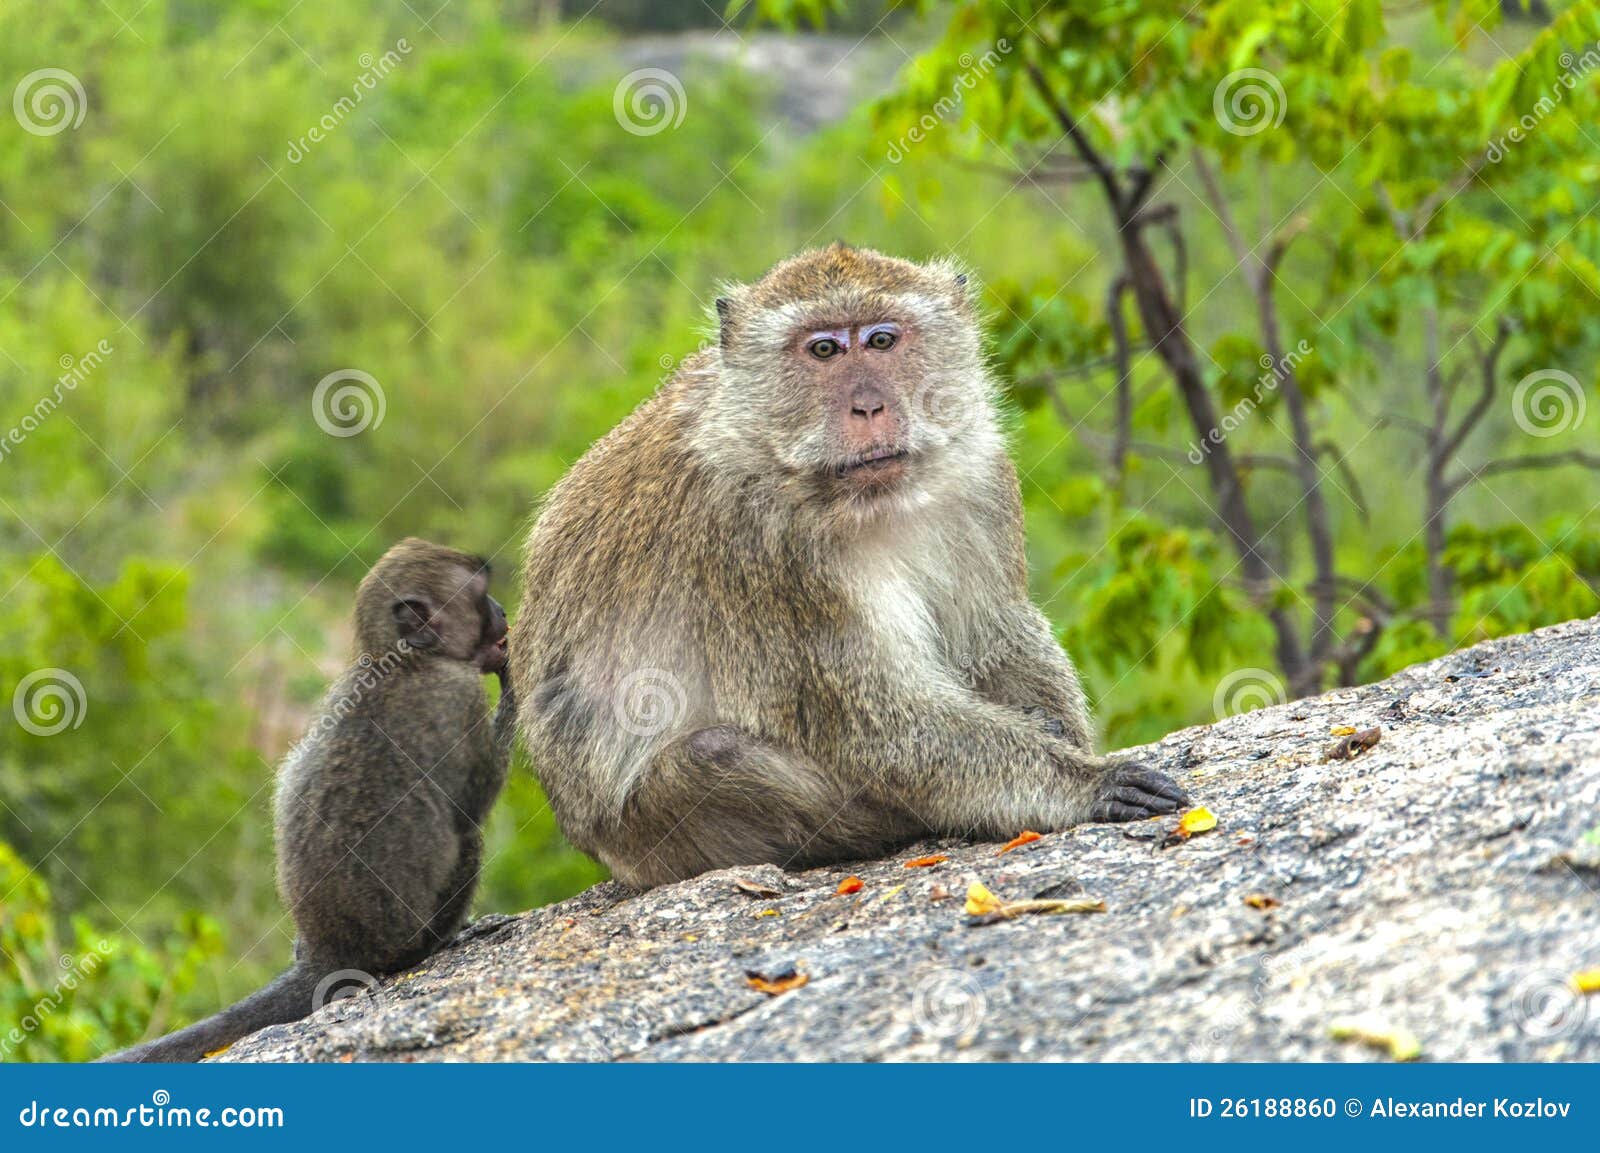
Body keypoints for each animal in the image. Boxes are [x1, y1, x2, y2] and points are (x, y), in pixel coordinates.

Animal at [103, 538, 514, 1062]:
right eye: (481, 597)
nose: (502, 611)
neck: (403, 660)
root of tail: (328, 953)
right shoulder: (456, 695)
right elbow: (473, 805)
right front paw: (518, 678)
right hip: (401, 942)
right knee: (467, 840)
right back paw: (441, 943)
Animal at [510, 244, 1189, 890]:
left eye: (882, 341)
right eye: (824, 350)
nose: (868, 407)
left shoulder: (980, 475)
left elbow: (994, 632)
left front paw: (1058, 731)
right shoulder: (757, 541)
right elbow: (876, 722)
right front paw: (1085, 782)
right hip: (650, 838)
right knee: (713, 753)